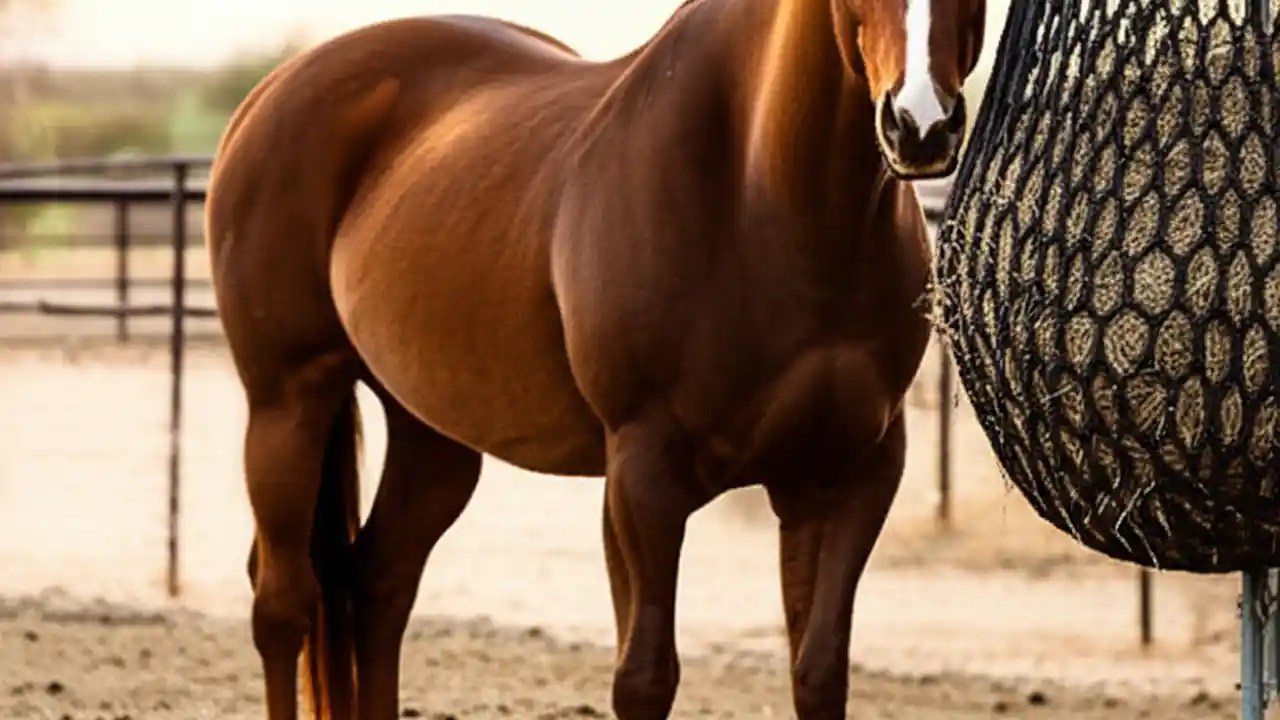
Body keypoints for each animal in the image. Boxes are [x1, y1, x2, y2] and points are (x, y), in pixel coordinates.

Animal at [205, 0, 986, 717]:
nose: (921, 125)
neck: (766, 201)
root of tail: (272, 91)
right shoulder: (645, 473)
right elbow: (644, 679)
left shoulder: (849, 477)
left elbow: (818, 674)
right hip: (288, 403)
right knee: (284, 604)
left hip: (432, 438)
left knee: (377, 585)